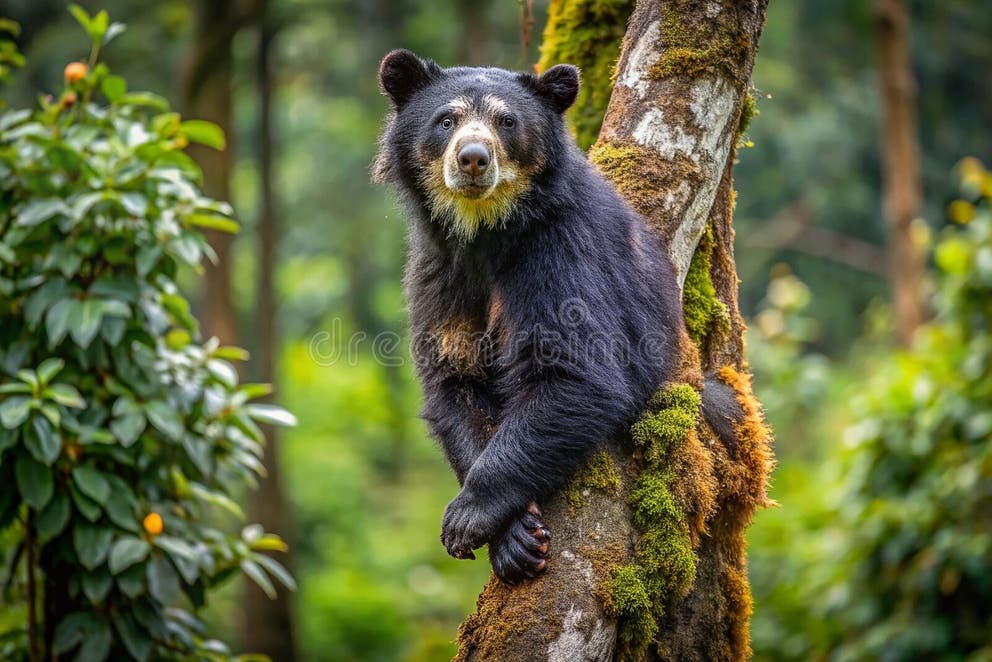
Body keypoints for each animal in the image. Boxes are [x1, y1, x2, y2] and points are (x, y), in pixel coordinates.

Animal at [373, 50, 738, 584]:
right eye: (446, 120)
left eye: (507, 122)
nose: (473, 158)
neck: (486, 232)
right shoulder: (441, 273)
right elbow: (455, 379)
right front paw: (515, 542)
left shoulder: (560, 251)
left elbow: (576, 372)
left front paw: (467, 517)